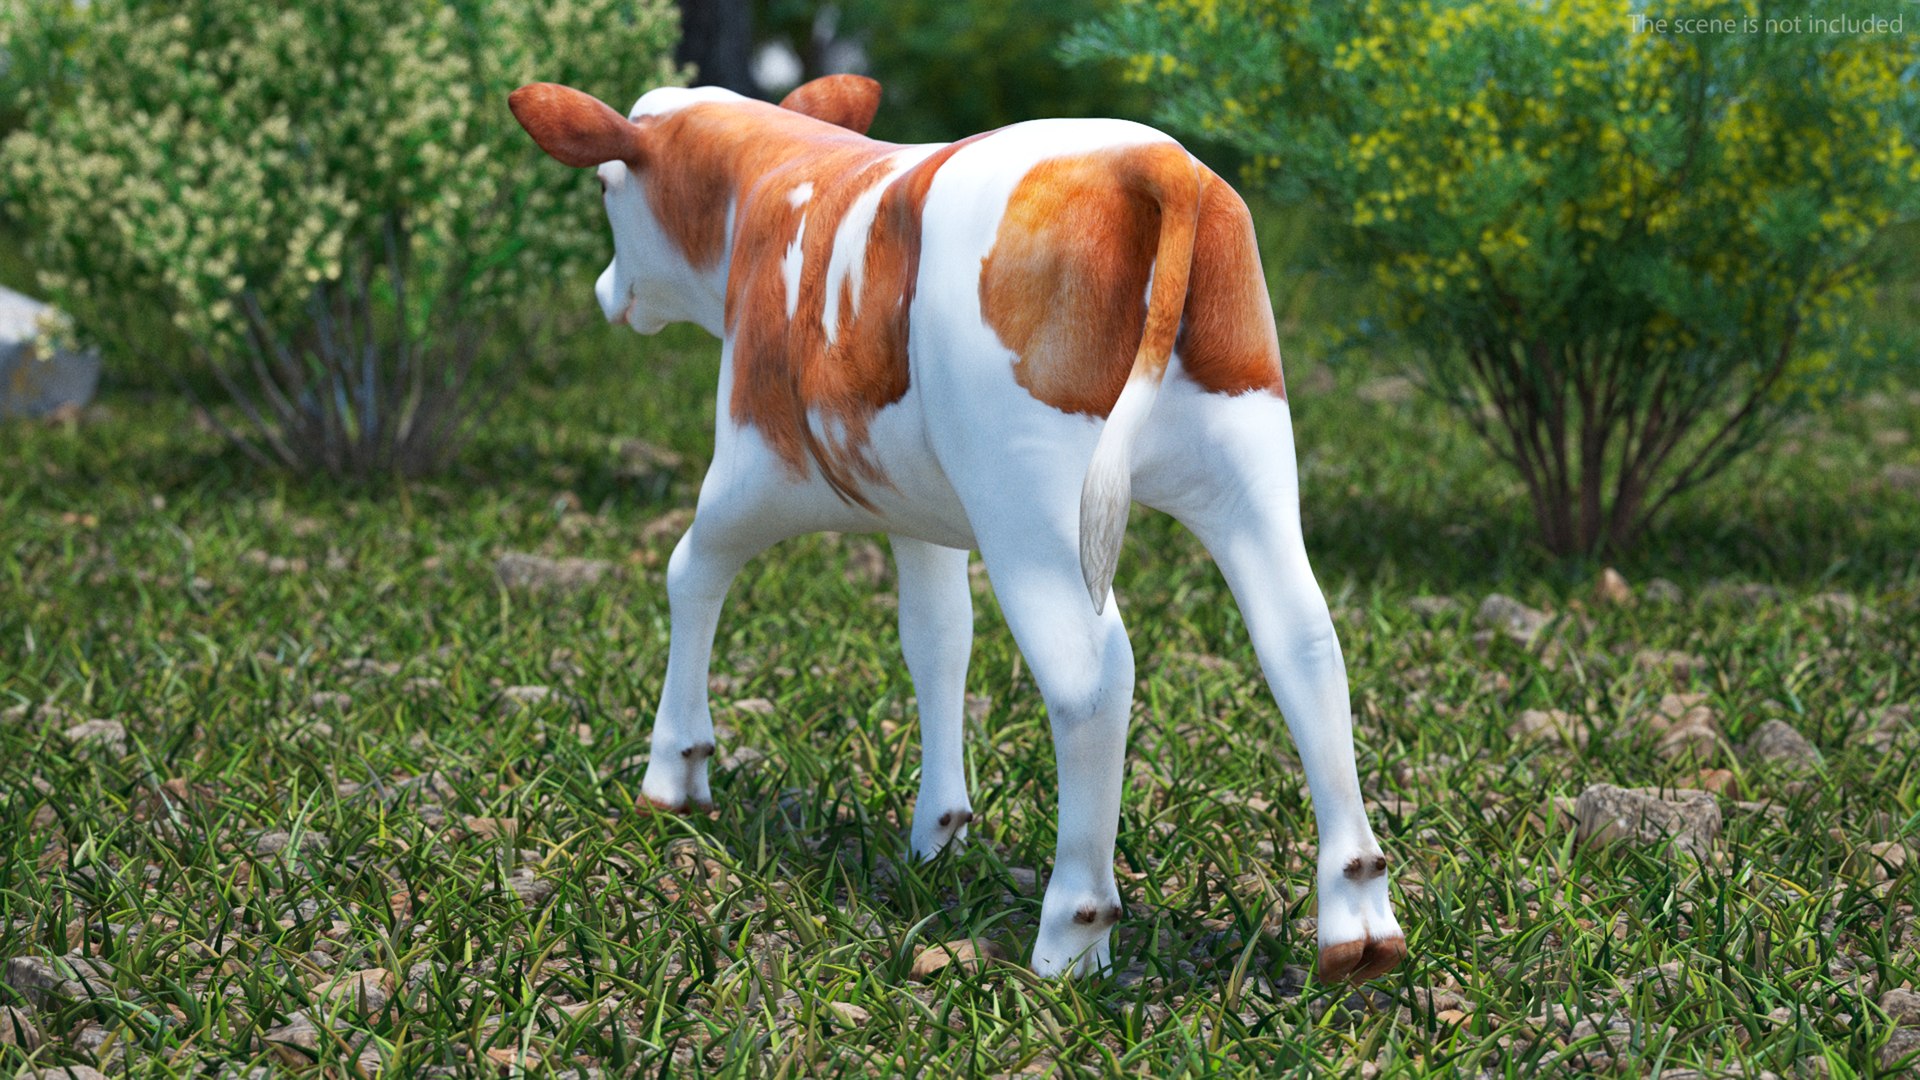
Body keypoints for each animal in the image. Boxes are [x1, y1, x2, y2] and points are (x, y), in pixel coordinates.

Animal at [508, 74, 1404, 983]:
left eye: (607, 187)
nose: (604, 294)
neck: (768, 187)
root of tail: (1153, 159)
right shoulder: (920, 515)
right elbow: (939, 638)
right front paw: (937, 835)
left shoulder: (754, 463)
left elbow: (690, 570)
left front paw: (675, 774)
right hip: (1248, 462)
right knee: (1302, 641)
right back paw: (1358, 921)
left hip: (1031, 499)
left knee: (1090, 676)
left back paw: (1073, 935)